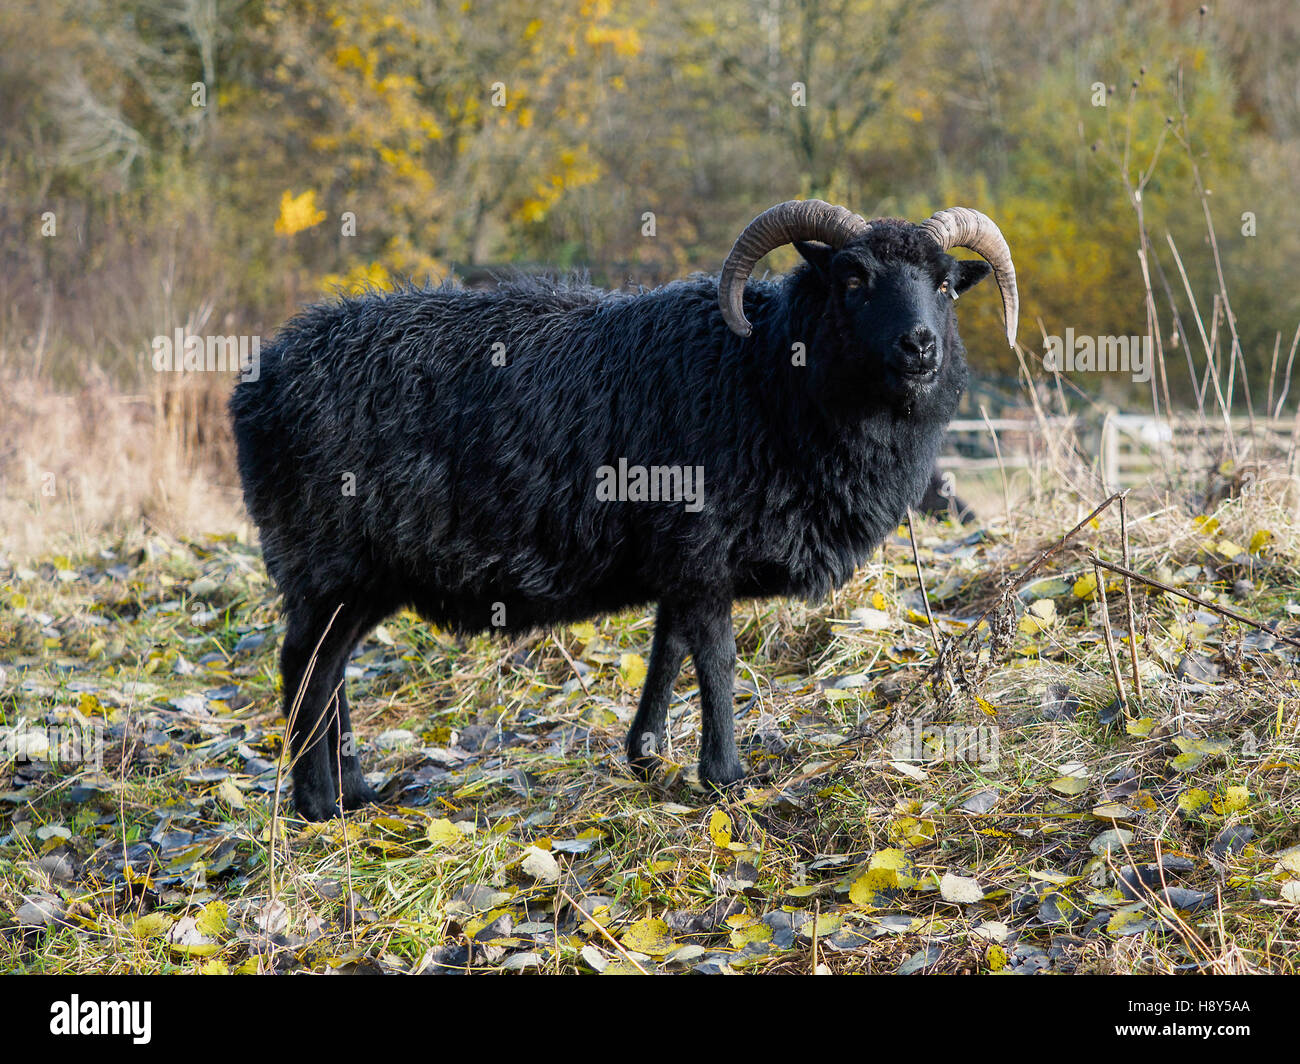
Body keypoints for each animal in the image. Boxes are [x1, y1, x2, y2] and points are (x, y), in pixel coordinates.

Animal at [230, 199, 1018, 820]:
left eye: (945, 285)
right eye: (854, 279)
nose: (920, 345)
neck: (765, 374)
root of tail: (257, 382)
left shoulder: (678, 560)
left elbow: (667, 650)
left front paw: (647, 757)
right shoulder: (703, 549)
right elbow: (716, 660)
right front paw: (727, 779)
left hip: (361, 575)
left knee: (329, 671)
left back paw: (358, 790)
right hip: (330, 559)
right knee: (305, 666)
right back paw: (319, 806)